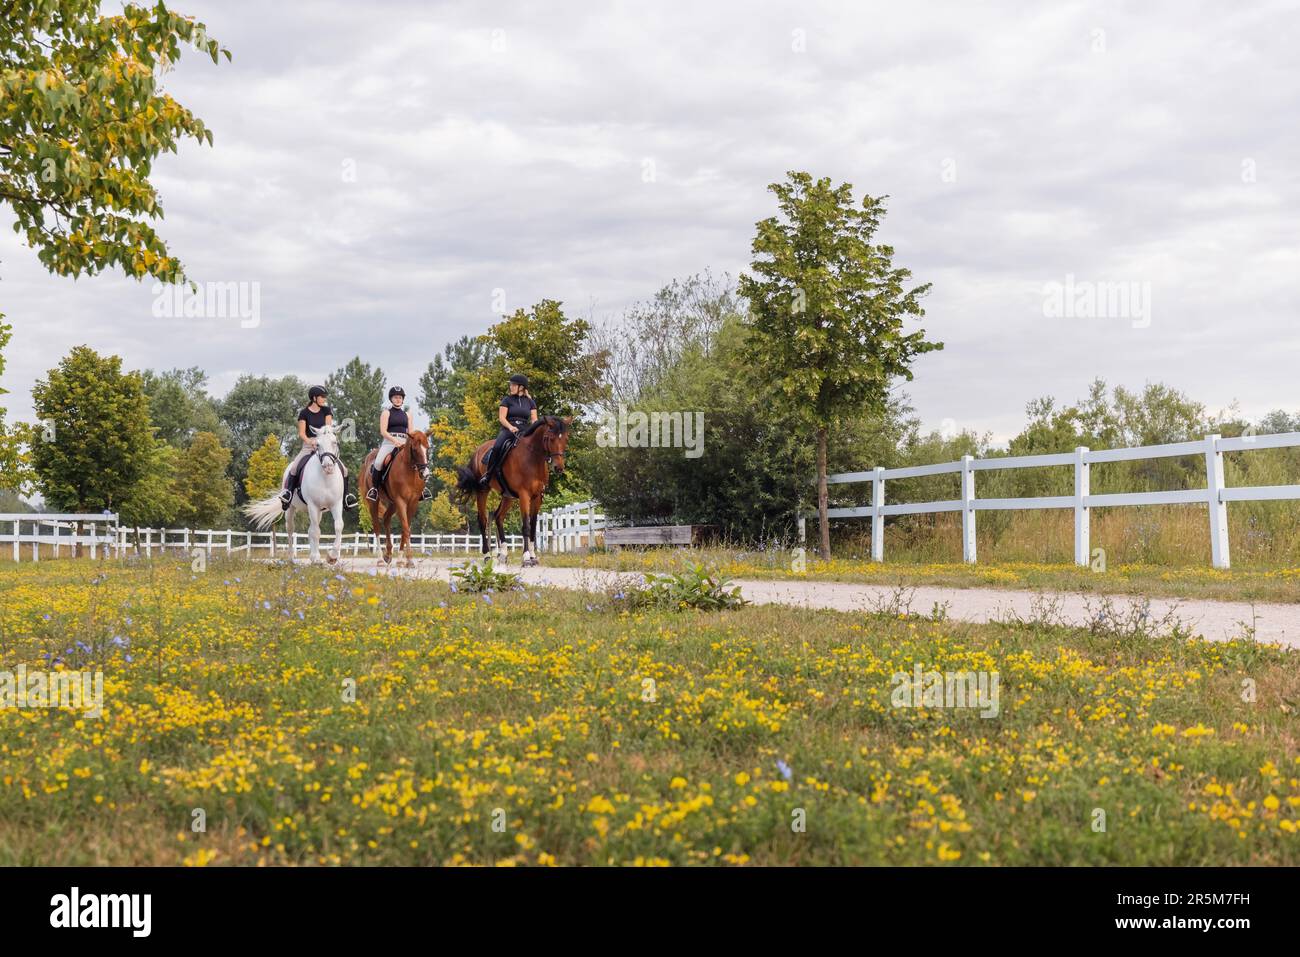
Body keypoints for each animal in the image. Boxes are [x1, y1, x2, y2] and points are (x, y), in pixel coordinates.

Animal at [244, 424, 345, 563]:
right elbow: (316, 532)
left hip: (319, 511)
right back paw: (292, 558)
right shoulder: (313, 505)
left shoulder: (336, 504)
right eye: (317, 444)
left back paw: (312, 556)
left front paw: (332, 556)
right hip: (290, 508)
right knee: (291, 529)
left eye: (334, 442)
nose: (328, 467)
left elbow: (338, 526)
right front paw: (318, 558)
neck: (325, 479)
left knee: (311, 529)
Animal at [360, 430, 430, 566]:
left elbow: (406, 528)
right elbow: (406, 529)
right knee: (376, 526)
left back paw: (388, 555)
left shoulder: (413, 502)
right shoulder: (401, 501)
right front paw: (409, 560)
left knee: (386, 519)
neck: (409, 471)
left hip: (392, 503)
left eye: (428, 448)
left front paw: (402, 560)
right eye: (415, 449)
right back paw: (380, 559)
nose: (425, 474)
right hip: (375, 502)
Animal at [454, 416, 570, 567]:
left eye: (565, 439)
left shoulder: (538, 497)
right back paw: (487, 556)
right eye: (550, 438)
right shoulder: (524, 495)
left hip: (508, 496)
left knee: (498, 516)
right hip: (483, 491)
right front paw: (526, 557)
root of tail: (478, 450)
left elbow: (533, 526)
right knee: (483, 520)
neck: (533, 458)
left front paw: (533, 556)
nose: (559, 467)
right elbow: (525, 526)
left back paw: (503, 554)